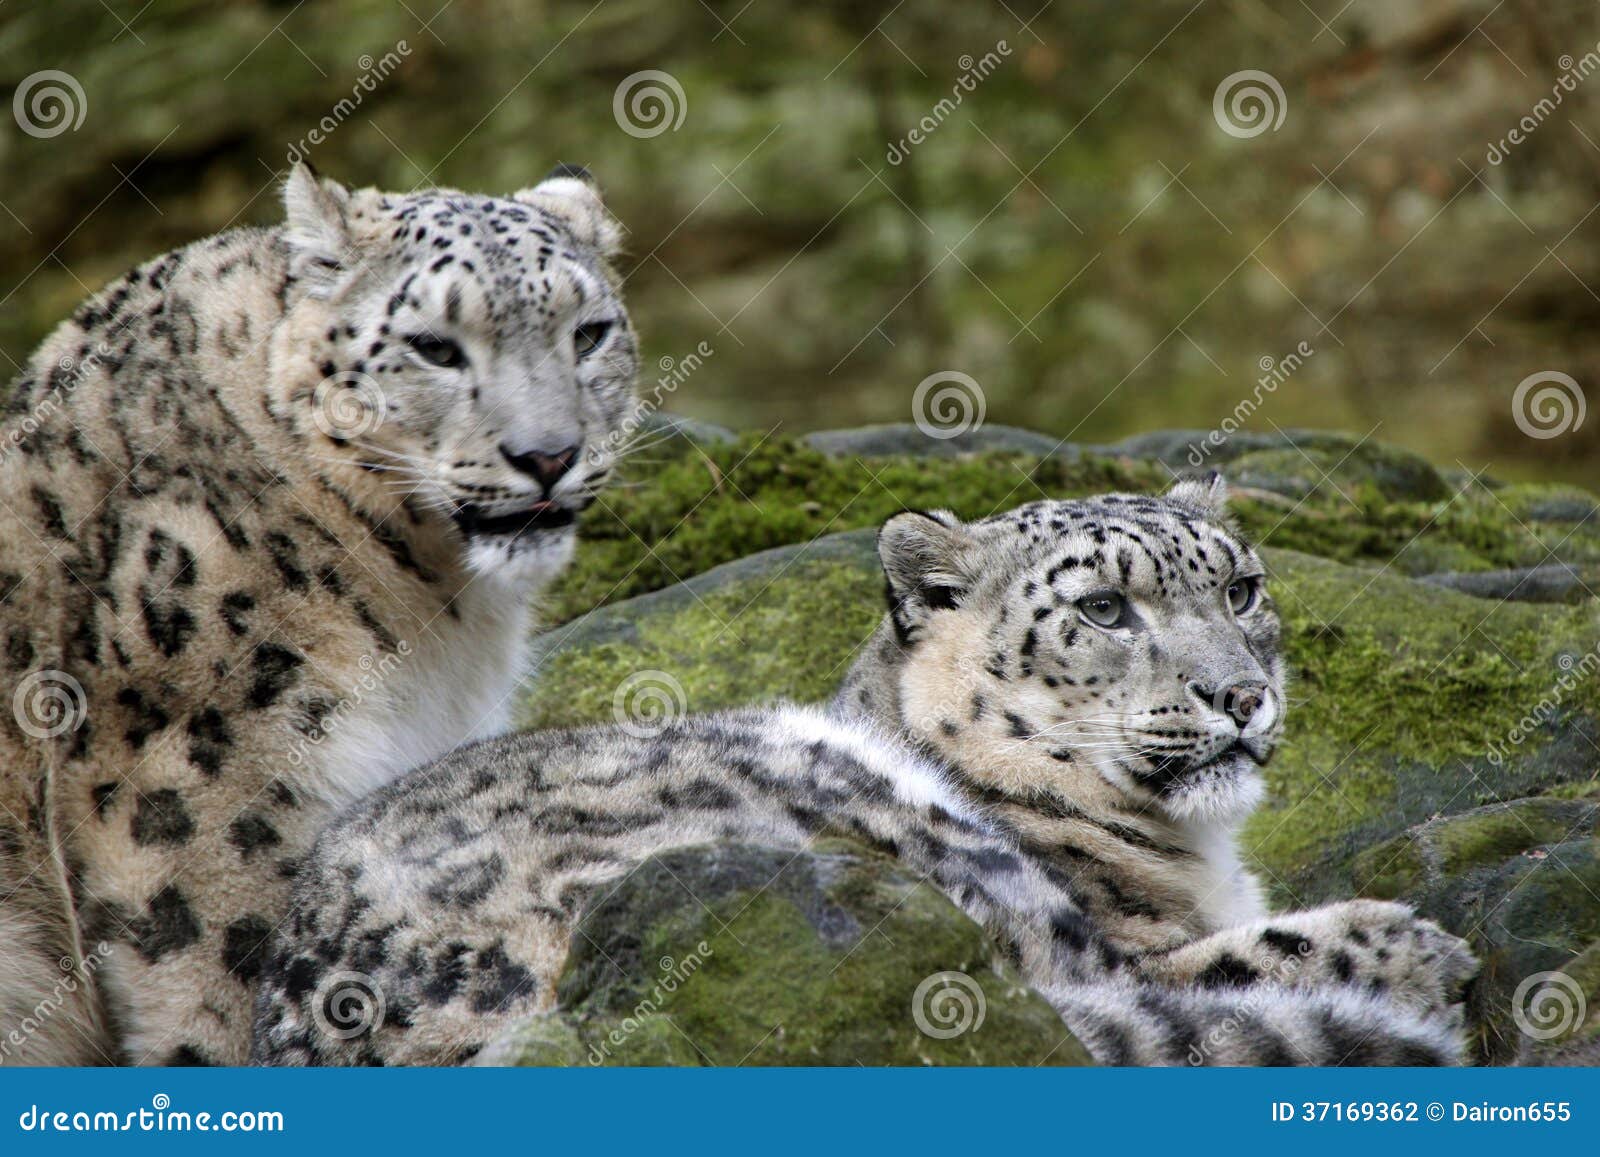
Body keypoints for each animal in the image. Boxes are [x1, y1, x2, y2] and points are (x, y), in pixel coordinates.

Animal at [0, 161, 638, 1066]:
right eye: (435, 347)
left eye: (588, 333)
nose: (549, 455)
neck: (439, 621)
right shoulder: (208, 782)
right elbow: (224, 976)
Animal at [252, 478, 1477, 1067]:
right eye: (1102, 608)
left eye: (1241, 588)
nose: (1241, 693)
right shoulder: (1121, 931)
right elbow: (1202, 962)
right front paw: (1414, 943)